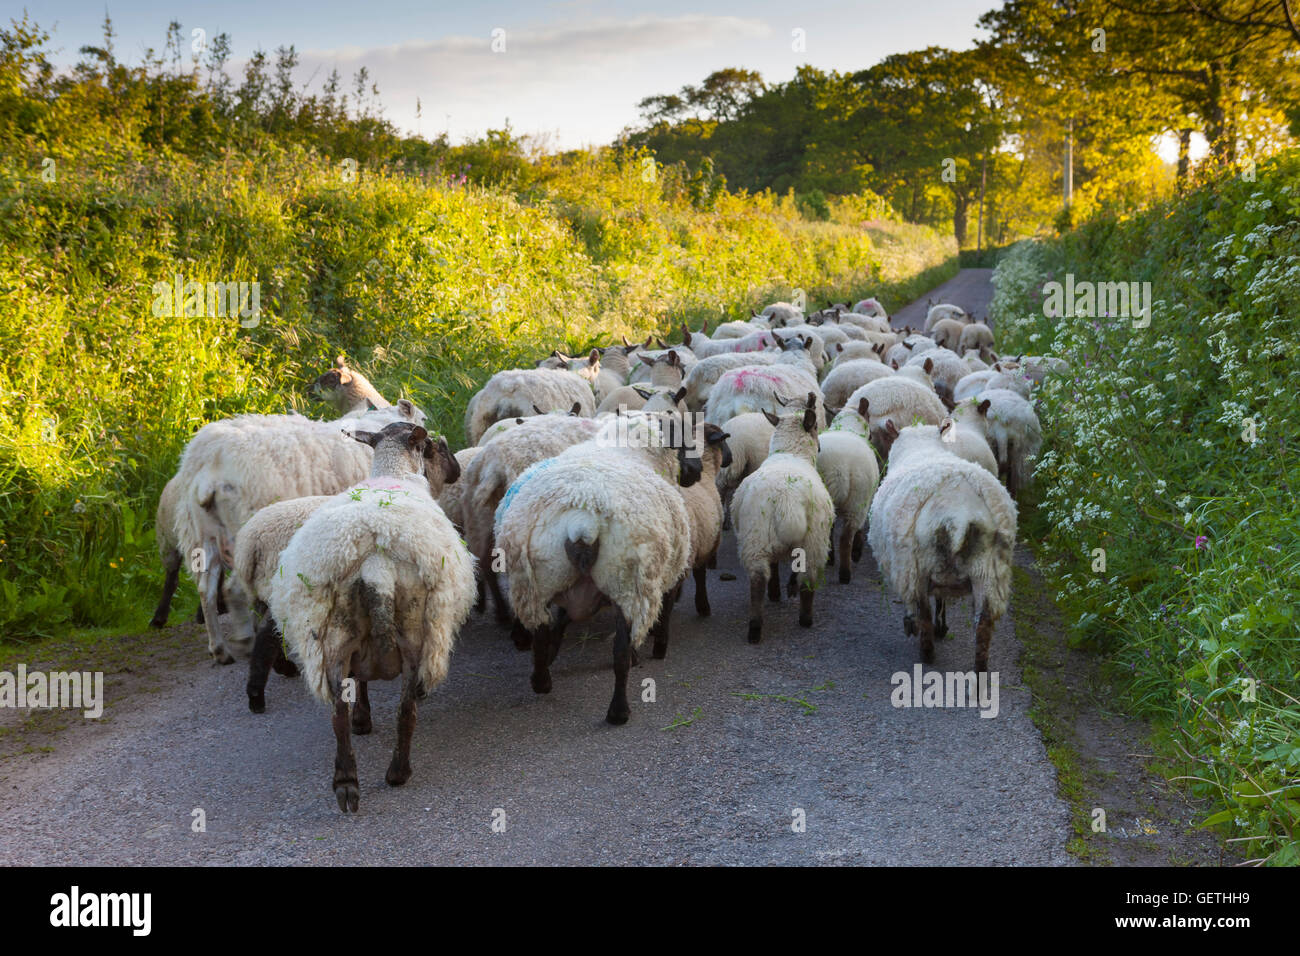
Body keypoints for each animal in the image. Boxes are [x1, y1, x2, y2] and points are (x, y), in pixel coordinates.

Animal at [171, 401, 426, 663]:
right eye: (423, 420)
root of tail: (208, 468)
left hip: (202, 534)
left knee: (206, 589)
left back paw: (219, 648)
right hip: (243, 531)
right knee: (233, 589)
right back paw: (245, 639)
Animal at [494, 411, 702, 725]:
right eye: (681, 436)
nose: (697, 472)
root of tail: (582, 521)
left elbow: (561, 623)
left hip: (538, 580)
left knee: (540, 631)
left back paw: (541, 680)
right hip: (628, 584)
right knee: (619, 654)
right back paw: (619, 711)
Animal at [731, 399, 834, 643]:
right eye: (816, 428)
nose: (820, 447)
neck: (790, 453)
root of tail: (787, 499)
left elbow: (777, 566)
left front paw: (778, 592)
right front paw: (784, 591)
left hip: (759, 538)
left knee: (761, 578)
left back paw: (757, 626)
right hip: (812, 540)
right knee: (805, 578)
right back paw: (802, 619)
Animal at [816, 397, 880, 584]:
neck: (847, 427)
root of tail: (838, 468)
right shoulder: (866, 501)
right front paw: (857, 552)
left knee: (829, 531)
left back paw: (830, 558)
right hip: (857, 501)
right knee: (846, 538)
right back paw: (845, 573)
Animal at [867, 425, 1017, 673]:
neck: (922, 448)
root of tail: (960, 515)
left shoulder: (905, 567)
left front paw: (912, 623)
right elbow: (942, 598)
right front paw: (943, 626)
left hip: (919, 566)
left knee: (923, 611)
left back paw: (926, 652)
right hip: (988, 572)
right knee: (984, 622)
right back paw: (980, 667)